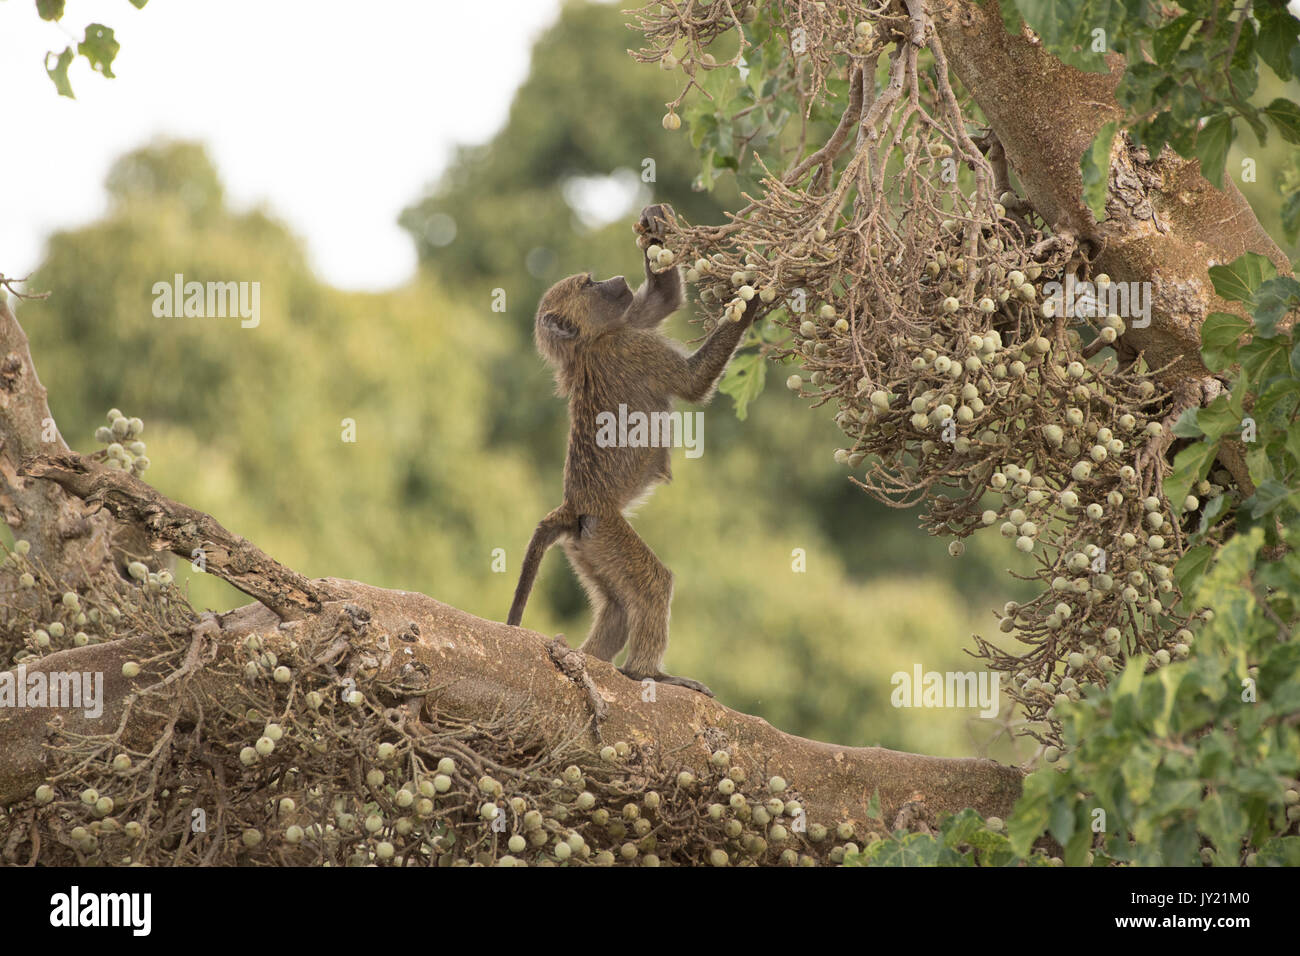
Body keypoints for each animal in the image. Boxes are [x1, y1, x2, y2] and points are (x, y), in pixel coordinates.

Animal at [507, 203, 758, 696]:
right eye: (589, 284)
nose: (617, 279)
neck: (590, 342)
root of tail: (574, 505)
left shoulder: (626, 322)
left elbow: (663, 301)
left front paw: (655, 226)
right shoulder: (630, 344)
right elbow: (692, 385)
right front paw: (753, 299)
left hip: (589, 547)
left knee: (620, 608)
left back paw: (587, 663)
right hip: (607, 530)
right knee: (654, 584)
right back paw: (647, 673)